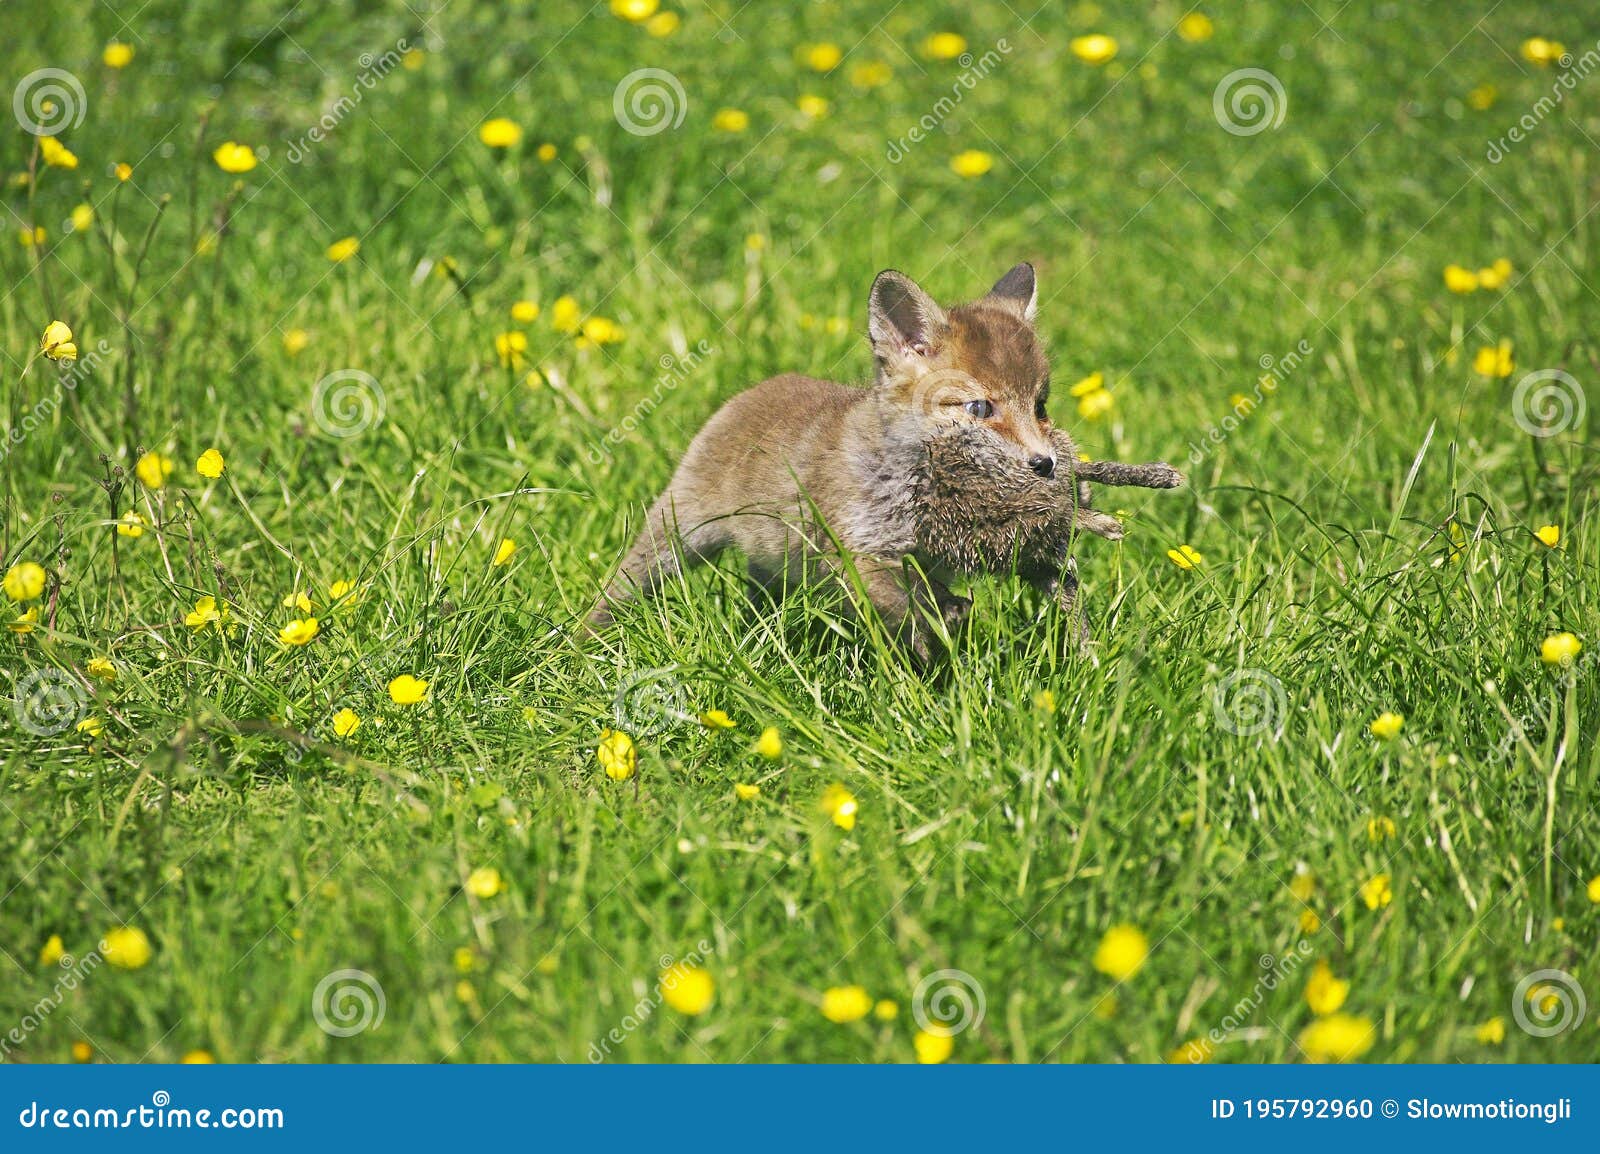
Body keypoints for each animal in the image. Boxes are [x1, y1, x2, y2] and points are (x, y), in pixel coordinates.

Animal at [589, 263, 1182, 658]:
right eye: (980, 408)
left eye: (1040, 406)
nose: (1046, 466)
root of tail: (755, 389)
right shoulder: (857, 551)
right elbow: (909, 612)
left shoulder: (932, 553)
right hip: (677, 535)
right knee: (622, 586)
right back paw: (582, 639)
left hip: (772, 560)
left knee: (762, 592)